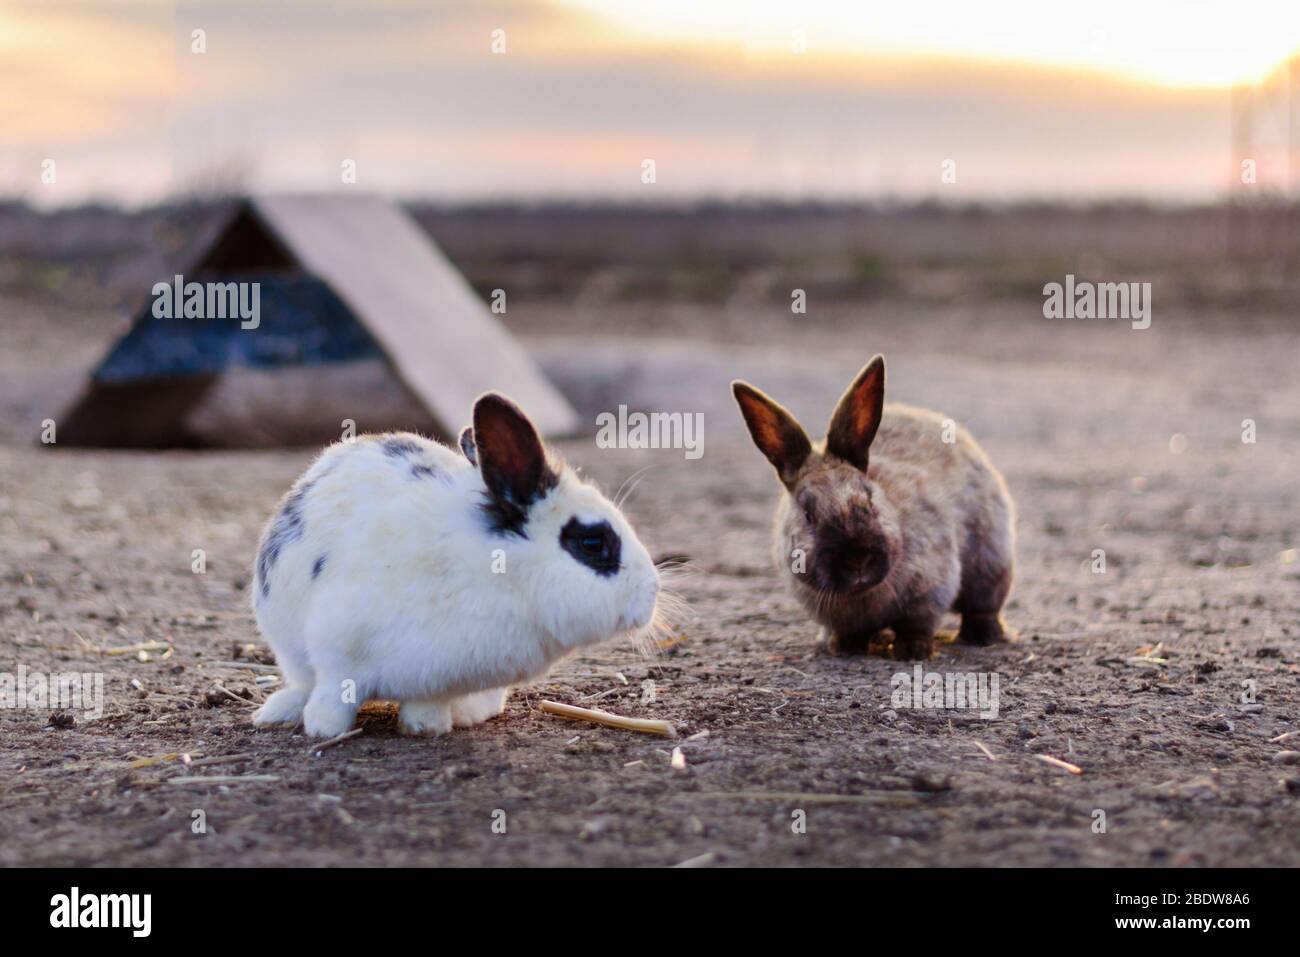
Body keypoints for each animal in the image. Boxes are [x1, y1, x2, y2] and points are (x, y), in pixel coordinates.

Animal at [250, 392, 661, 738]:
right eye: (592, 543)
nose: (651, 595)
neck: (504, 575)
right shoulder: (336, 647)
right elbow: (336, 690)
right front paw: (323, 729)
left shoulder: (434, 678)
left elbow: (425, 704)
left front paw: (425, 727)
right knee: (304, 682)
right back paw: (278, 711)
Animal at [731, 355, 1014, 659]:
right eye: (808, 514)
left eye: (869, 501)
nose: (858, 560)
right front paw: (844, 646)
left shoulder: (931, 589)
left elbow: (917, 625)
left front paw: (911, 651)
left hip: (991, 561)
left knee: (983, 606)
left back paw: (983, 635)